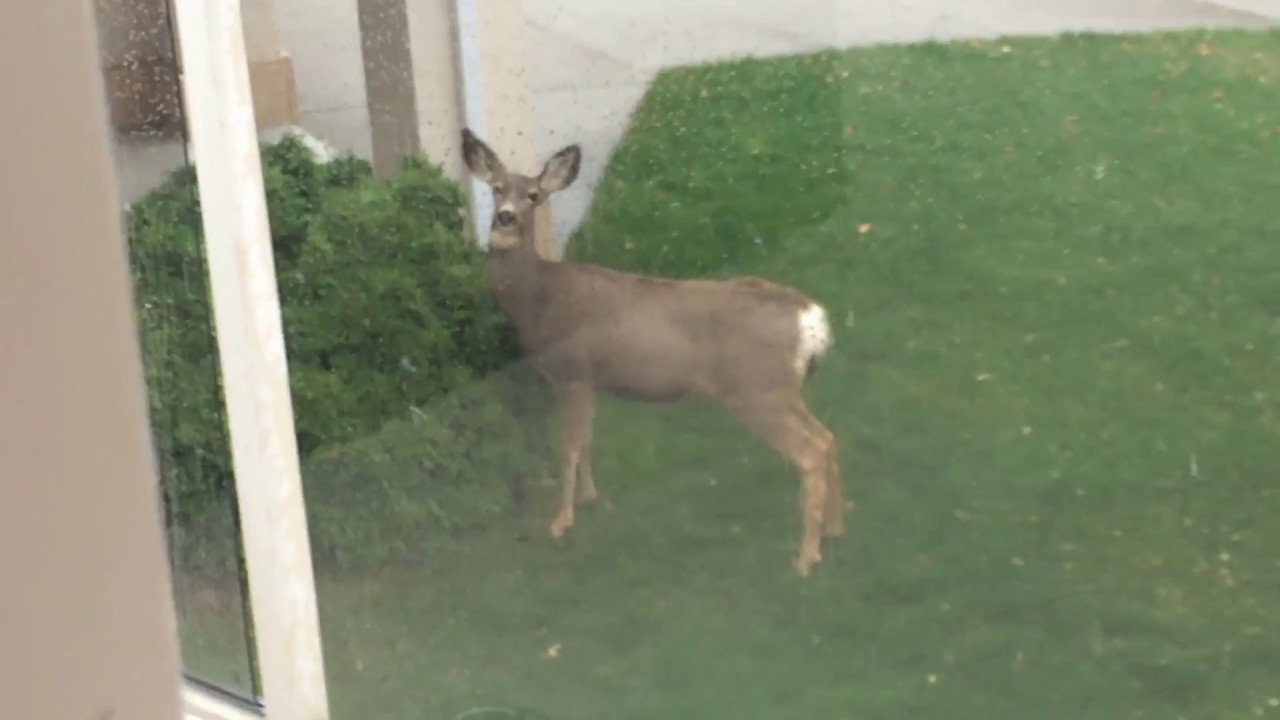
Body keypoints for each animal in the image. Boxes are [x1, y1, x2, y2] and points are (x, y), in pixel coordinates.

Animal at [460, 128, 845, 577]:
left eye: (534, 195)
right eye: (496, 187)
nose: (505, 219)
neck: (540, 298)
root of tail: (811, 319)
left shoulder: (572, 372)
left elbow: (569, 445)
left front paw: (560, 521)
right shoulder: (591, 379)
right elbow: (587, 439)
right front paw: (589, 498)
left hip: (756, 389)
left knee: (810, 450)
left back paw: (805, 558)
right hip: (779, 390)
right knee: (827, 437)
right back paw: (835, 529)